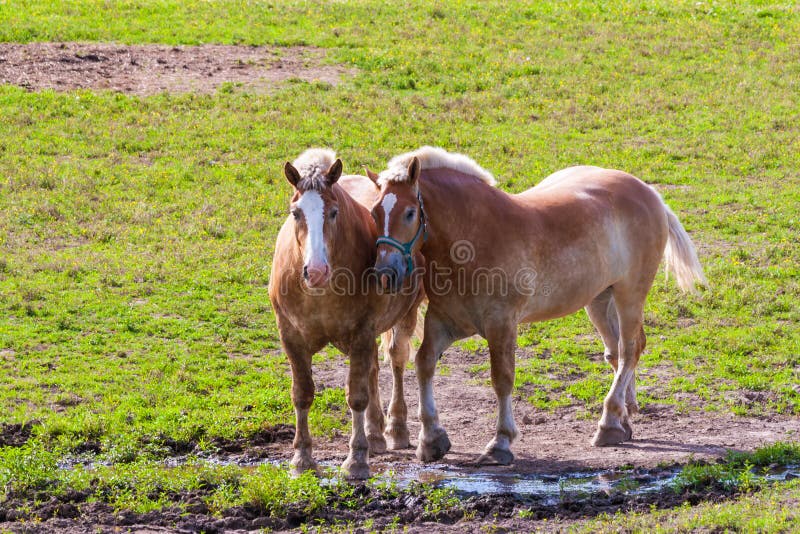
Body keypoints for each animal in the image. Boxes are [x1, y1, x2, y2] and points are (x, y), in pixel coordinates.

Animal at [268, 148, 424, 479]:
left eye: (334, 212)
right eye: (295, 212)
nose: (315, 271)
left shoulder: (362, 332)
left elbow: (356, 396)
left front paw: (356, 460)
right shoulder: (290, 337)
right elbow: (302, 393)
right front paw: (302, 459)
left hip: (404, 317)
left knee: (396, 360)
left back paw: (395, 429)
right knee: (374, 369)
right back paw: (375, 434)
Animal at [366, 146, 706, 465]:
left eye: (410, 213)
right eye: (374, 213)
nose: (386, 273)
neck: (473, 234)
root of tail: (649, 193)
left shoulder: (501, 325)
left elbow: (502, 379)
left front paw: (500, 443)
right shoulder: (443, 322)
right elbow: (424, 364)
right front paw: (431, 439)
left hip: (630, 295)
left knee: (629, 350)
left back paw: (608, 422)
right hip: (599, 299)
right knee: (617, 352)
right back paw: (622, 419)